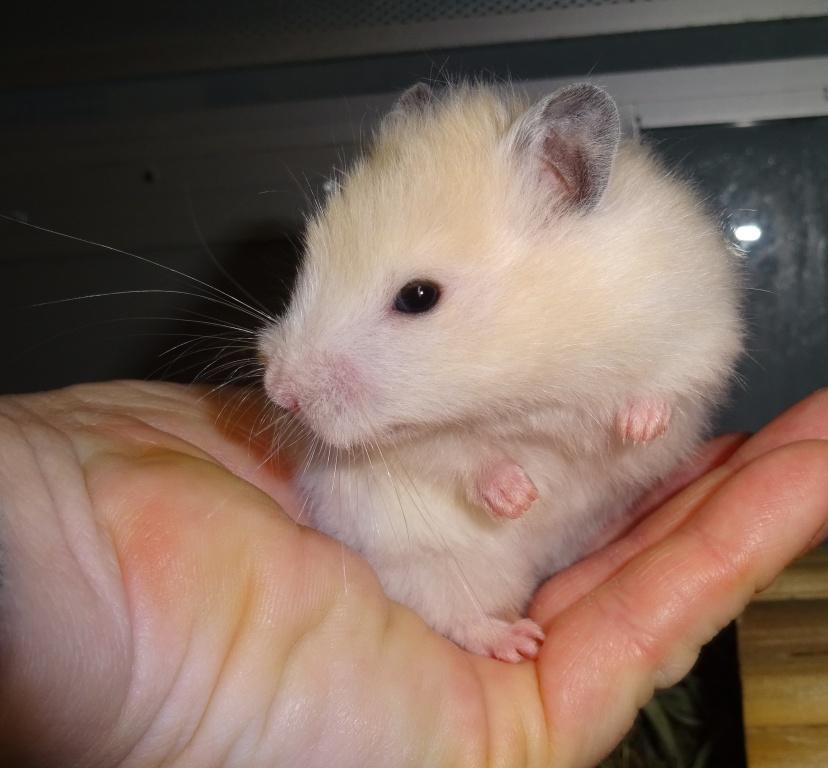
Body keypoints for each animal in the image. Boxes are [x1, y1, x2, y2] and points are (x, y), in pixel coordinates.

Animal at [257, 82, 743, 663]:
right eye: (307, 261)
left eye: (418, 296)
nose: (280, 393)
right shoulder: (418, 443)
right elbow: (457, 453)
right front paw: (520, 498)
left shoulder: (697, 326)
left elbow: (672, 384)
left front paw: (637, 429)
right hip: (426, 561)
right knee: (453, 614)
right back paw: (517, 641)